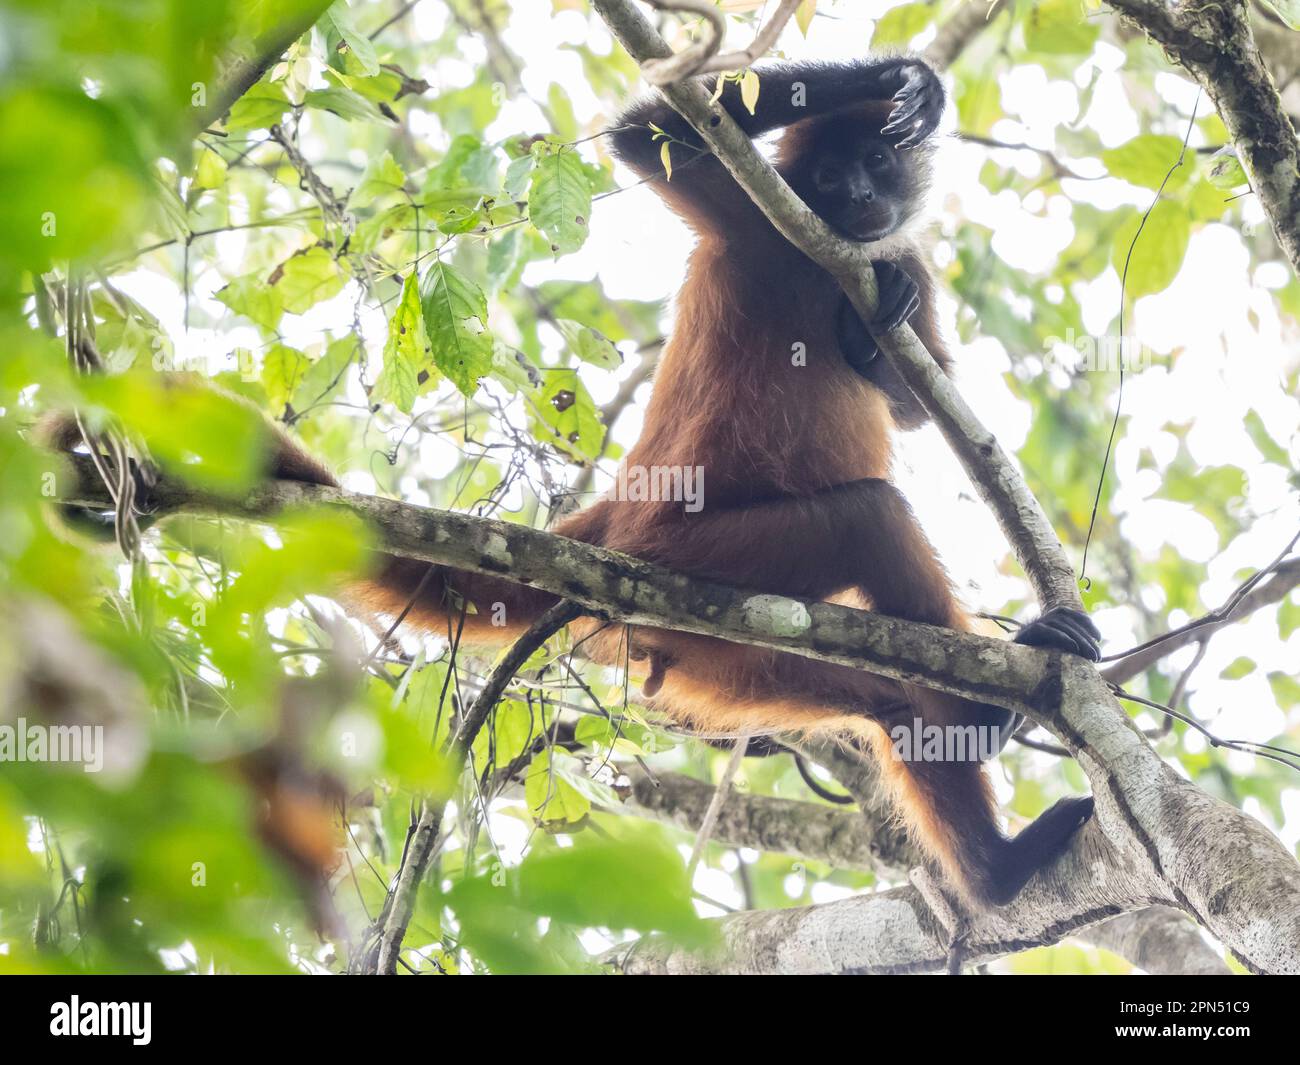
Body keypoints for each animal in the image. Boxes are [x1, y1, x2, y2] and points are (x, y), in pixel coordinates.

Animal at [45, 54, 1101, 909]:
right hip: (698, 559)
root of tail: (617, 519)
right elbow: (649, 135)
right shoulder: (766, 227)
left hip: (712, 644)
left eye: (874, 169)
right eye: (833, 180)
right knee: (870, 521)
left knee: (888, 699)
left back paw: (991, 865)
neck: (832, 256)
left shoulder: (888, 249)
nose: (863, 199)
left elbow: (918, 395)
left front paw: (883, 319)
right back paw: (992, 722)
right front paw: (907, 74)